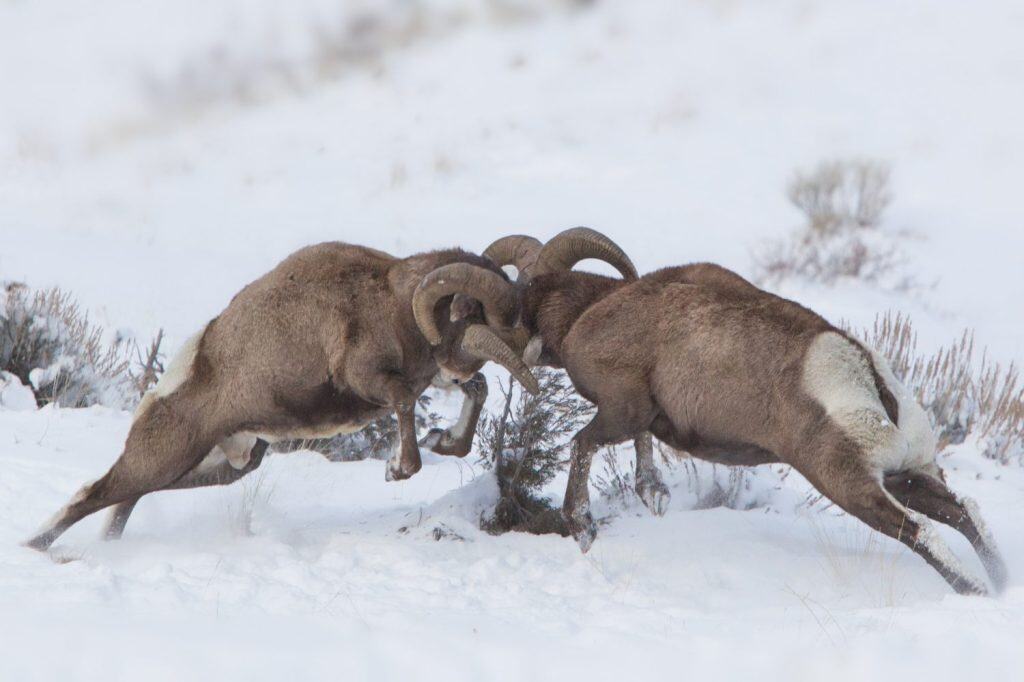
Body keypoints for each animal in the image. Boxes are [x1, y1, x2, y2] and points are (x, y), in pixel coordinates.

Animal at [25, 242, 537, 551]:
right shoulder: (375, 382)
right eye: (486, 317)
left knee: (129, 497)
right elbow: (405, 409)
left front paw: (444, 441)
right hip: (167, 455)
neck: (392, 306)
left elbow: (475, 391)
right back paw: (34, 545)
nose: (531, 351)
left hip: (232, 462)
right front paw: (397, 468)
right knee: (93, 494)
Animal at [487, 228, 1007, 596]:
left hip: (849, 485)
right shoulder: (641, 421)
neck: (592, 312)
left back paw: (977, 594)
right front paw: (652, 495)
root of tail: (869, 380)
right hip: (908, 476)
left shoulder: (620, 412)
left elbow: (582, 446)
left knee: (921, 533)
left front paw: (583, 529)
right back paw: (1001, 586)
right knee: (967, 517)